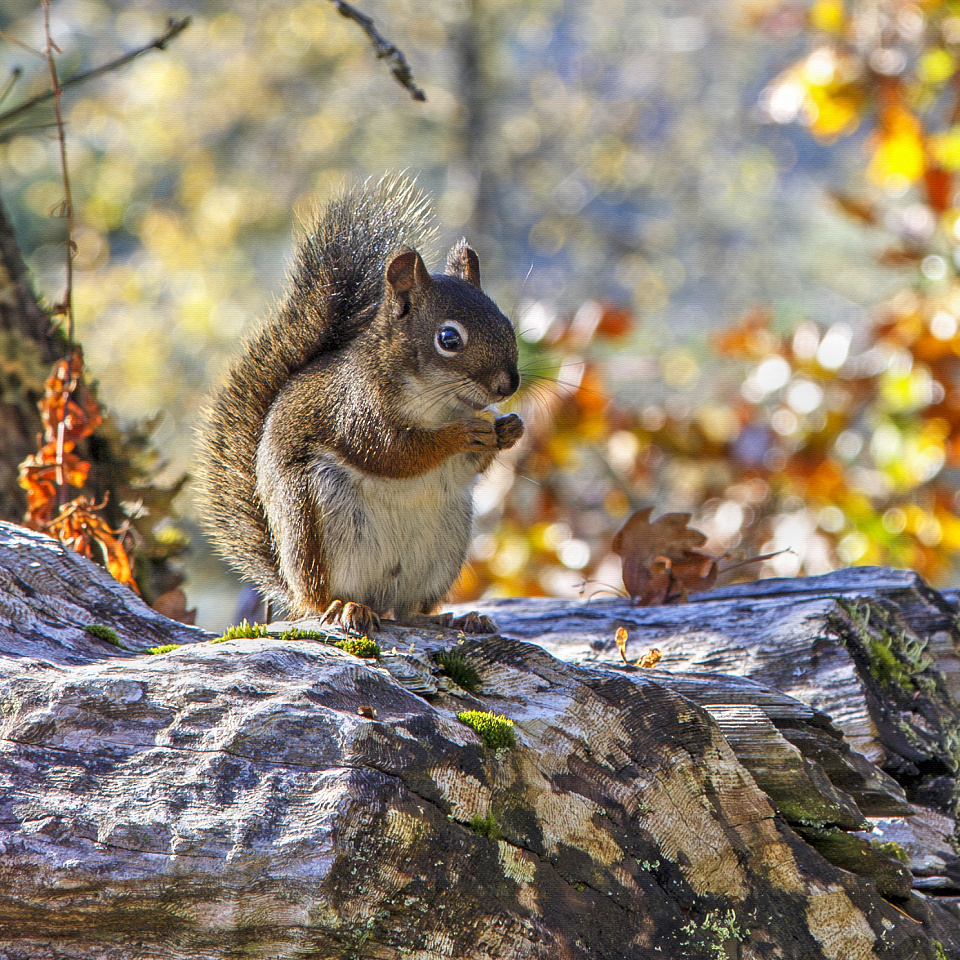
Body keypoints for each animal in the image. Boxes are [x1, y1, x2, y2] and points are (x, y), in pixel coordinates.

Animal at [195, 175, 523, 636]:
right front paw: (460, 434)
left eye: (506, 322)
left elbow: (466, 464)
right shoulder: (354, 409)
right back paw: (346, 608)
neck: (437, 404)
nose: (508, 384)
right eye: (449, 339)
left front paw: (510, 429)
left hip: (444, 546)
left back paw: (455, 618)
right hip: (312, 524)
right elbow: (393, 453)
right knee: (323, 598)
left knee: (409, 610)